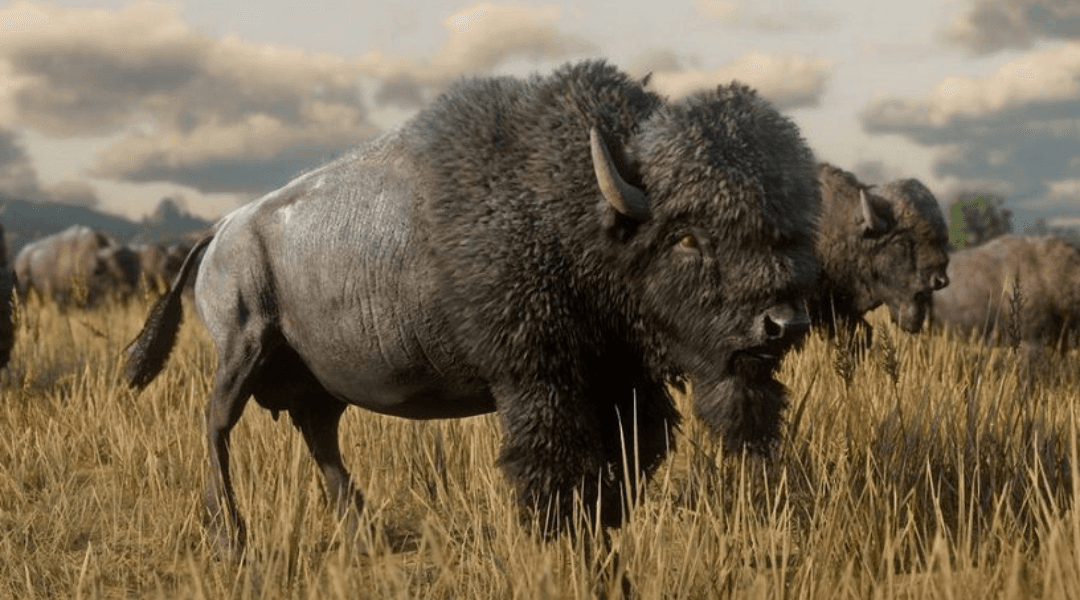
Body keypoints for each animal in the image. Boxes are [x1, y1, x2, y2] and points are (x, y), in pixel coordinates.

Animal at [126, 60, 821, 549]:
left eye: (790, 228)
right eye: (686, 236)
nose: (782, 323)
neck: (575, 208)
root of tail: (222, 230)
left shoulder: (622, 382)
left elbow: (629, 457)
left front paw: (603, 522)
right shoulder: (538, 380)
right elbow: (551, 460)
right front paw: (558, 534)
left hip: (315, 380)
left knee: (320, 437)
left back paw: (363, 532)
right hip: (242, 349)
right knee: (217, 425)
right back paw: (230, 535)